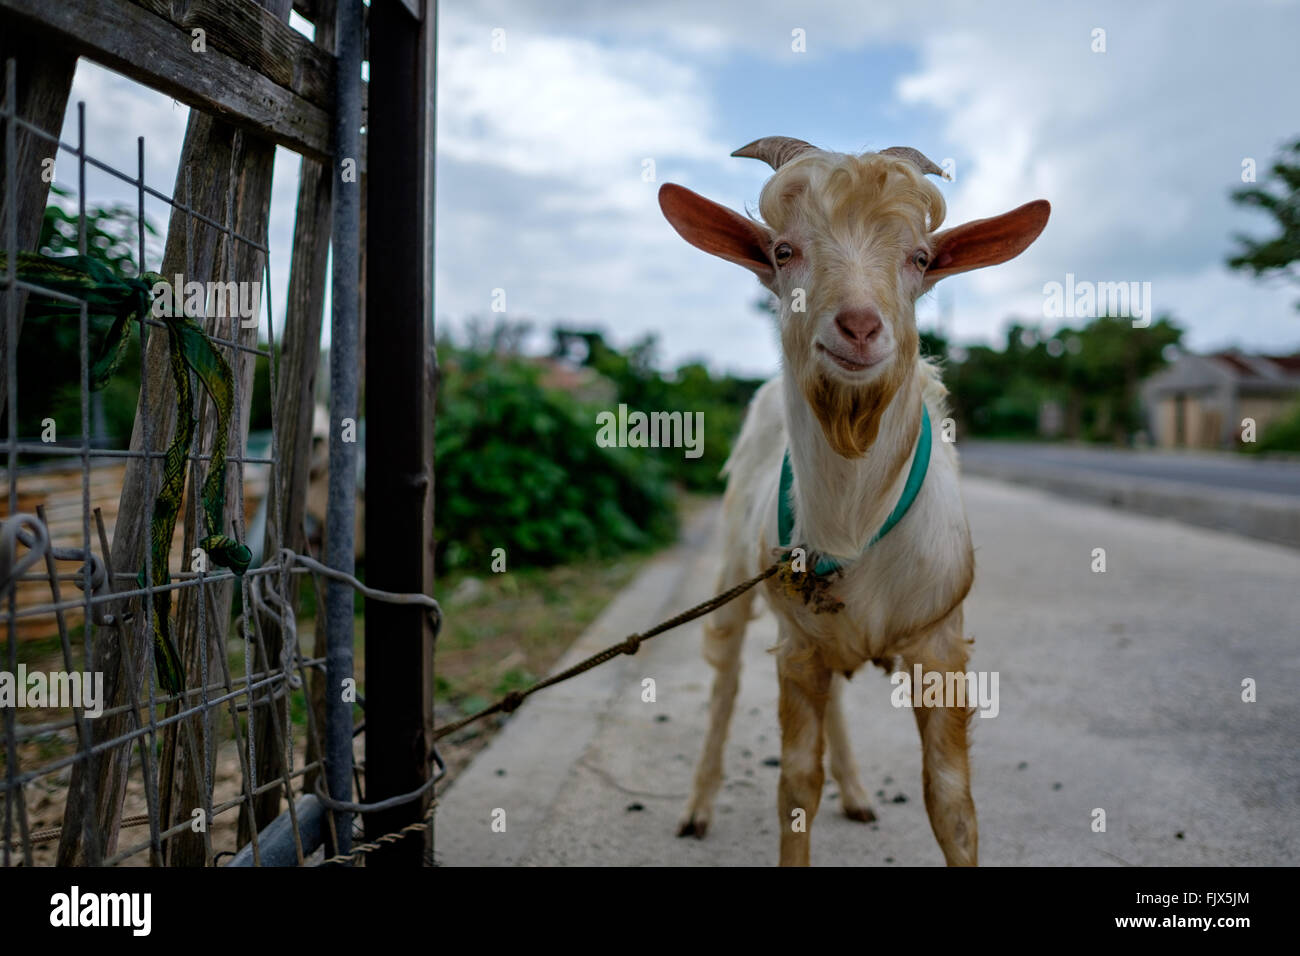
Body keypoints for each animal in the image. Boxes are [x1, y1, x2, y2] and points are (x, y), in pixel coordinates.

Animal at [658, 137, 1049, 866]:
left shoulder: (939, 643)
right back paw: (697, 807)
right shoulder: (796, 650)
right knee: (724, 682)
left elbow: (952, 804)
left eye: (920, 258)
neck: (854, 525)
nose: (861, 327)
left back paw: (859, 792)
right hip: (734, 572)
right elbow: (795, 792)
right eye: (784, 250)